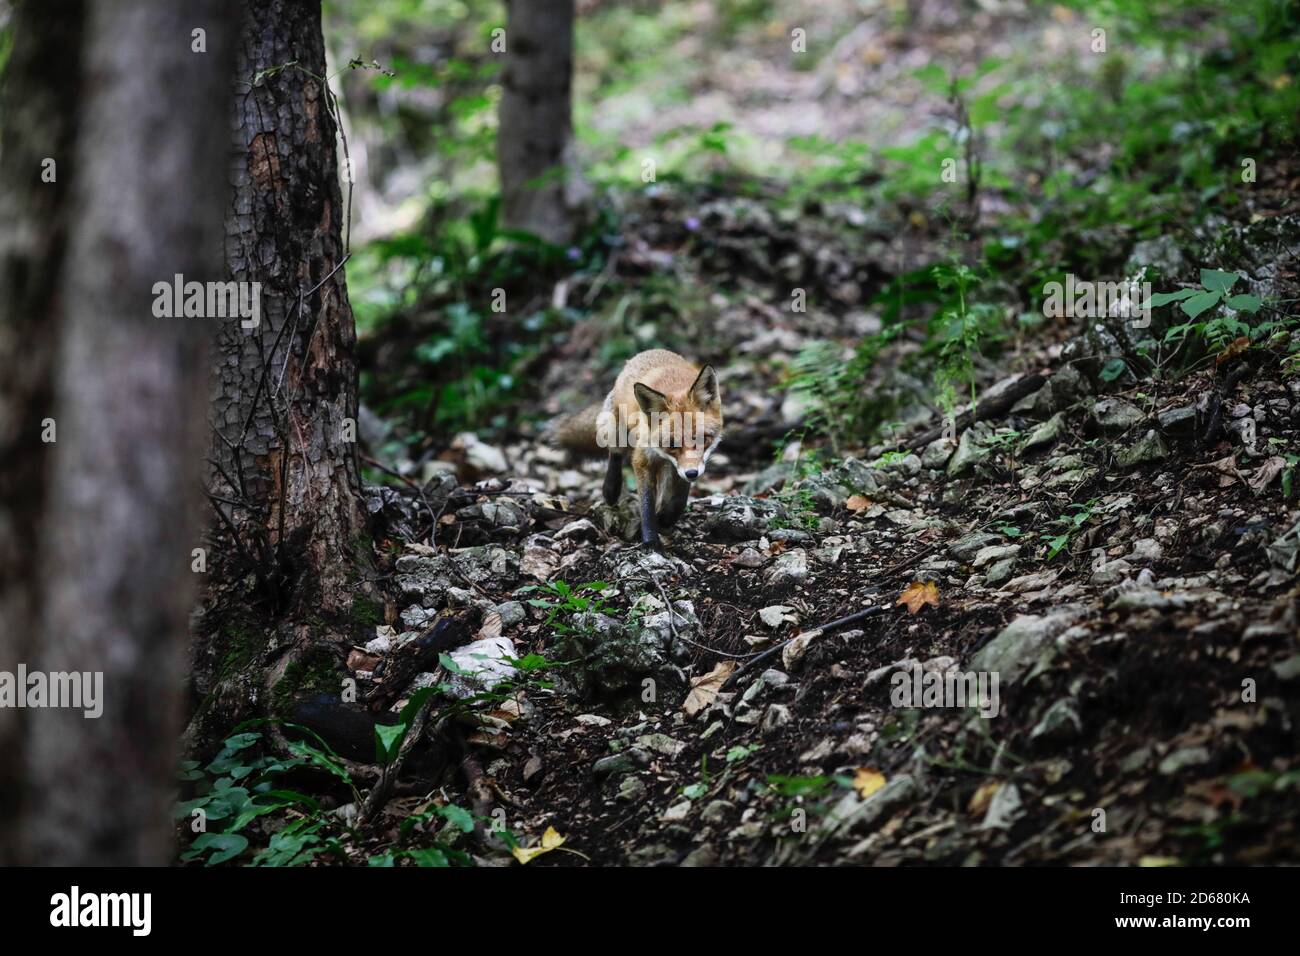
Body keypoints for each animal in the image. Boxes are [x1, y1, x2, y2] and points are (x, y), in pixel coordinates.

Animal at [551, 349, 724, 547]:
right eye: (672, 444)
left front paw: (665, 519)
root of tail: (649, 351)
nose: (692, 473)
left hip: (665, 468)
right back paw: (611, 490)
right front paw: (650, 541)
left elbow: (678, 501)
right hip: (615, 432)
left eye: (704, 439)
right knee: (615, 456)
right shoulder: (642, 459)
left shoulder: (678, 468)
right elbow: (646, 504)